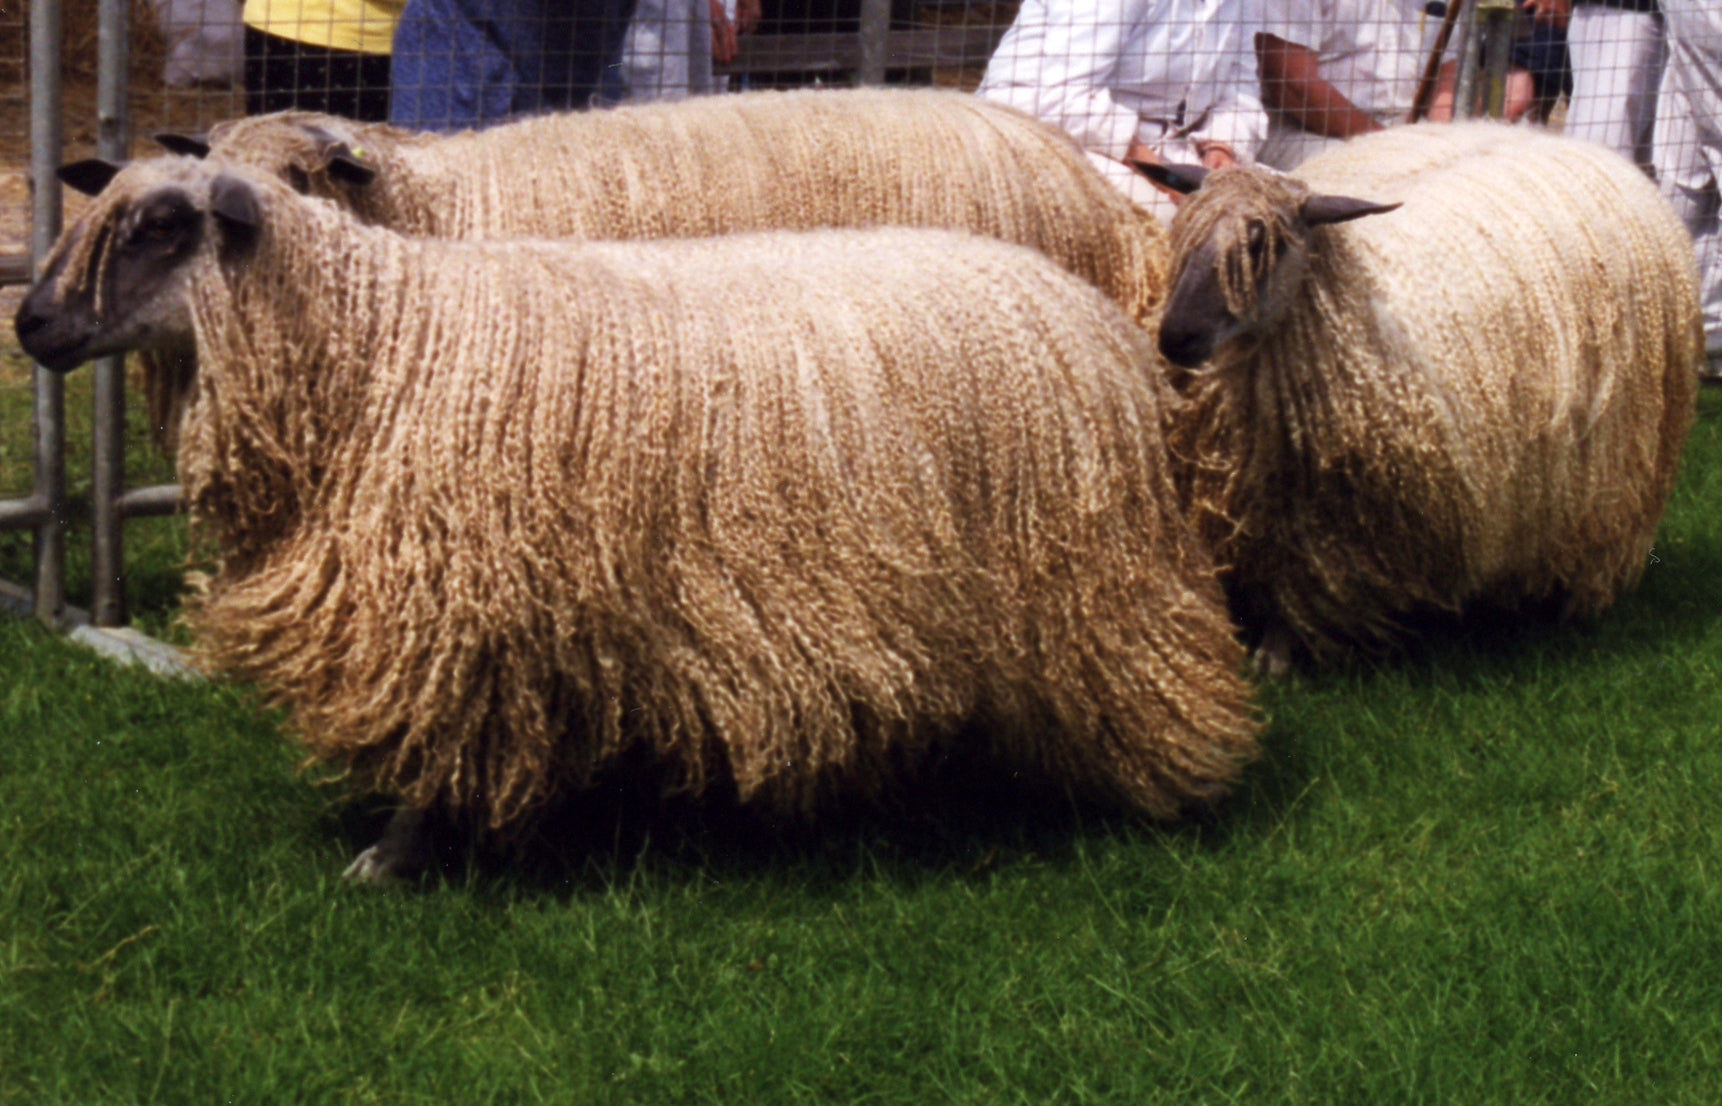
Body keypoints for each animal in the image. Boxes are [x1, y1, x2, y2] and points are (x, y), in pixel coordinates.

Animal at [14, 157, 1258, 879]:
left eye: (157, 227)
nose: (29, 326)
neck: (379, 341)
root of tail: (1095, 316)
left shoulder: (465, 606)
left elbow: (434, 744)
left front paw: (397, 858)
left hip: (1091, 573)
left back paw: (1171, 791)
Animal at [1131, 122, 1702, 670]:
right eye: (1186, 232)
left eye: (1260, 245)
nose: (1176, 336)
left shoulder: (1334, 527)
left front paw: (1277, 653)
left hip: (1618, 465)